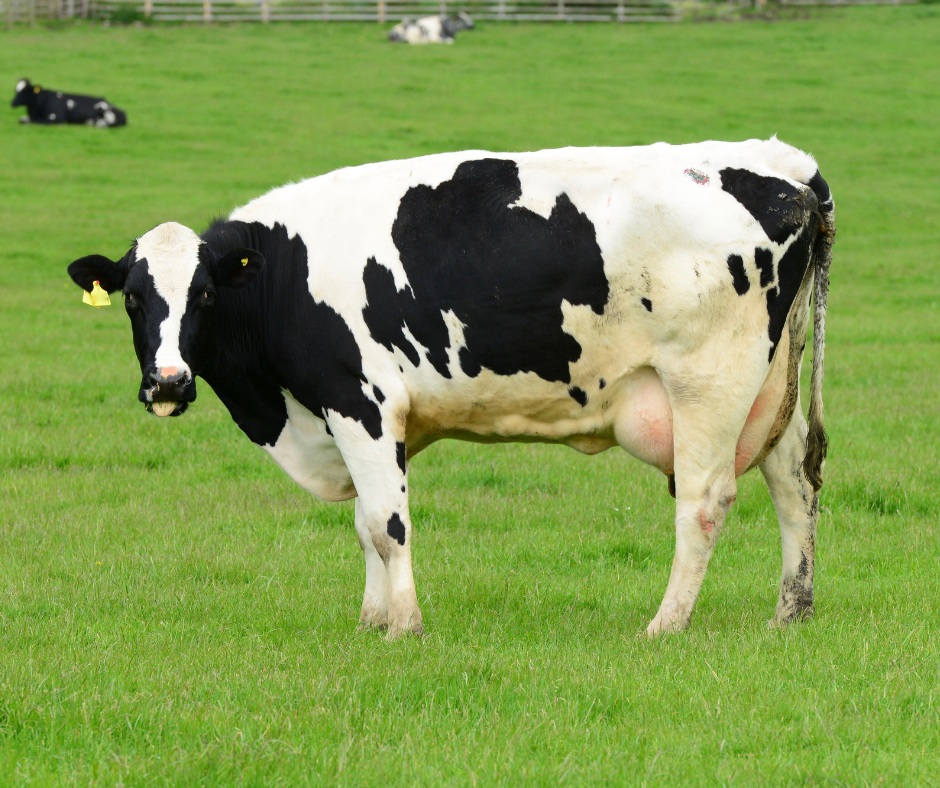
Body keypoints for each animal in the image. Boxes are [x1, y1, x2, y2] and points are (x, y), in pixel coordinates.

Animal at [67, 138, 834, 639]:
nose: (168, 382)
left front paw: (403, 626)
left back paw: (665, 624)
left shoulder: (362, 403)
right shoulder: (360, 421)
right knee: (796, 482)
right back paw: (790, 611)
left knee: (705, 502)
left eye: (202, 295)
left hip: (707, 382)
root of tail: (782, 168)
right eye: (133, 298)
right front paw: (371, 618)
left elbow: (387, 522)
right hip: (773, 388)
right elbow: (365, 523)